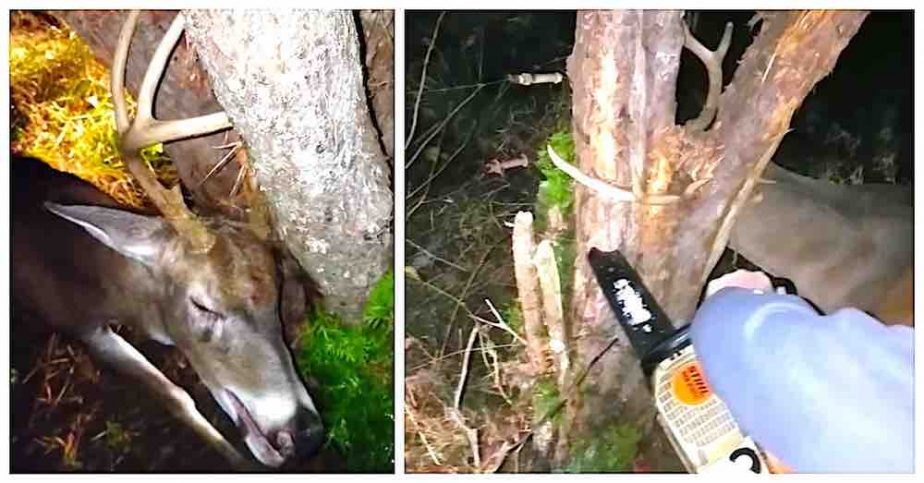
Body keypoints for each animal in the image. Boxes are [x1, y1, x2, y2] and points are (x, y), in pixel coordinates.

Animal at [12, 11, 323, 468]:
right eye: (203, 305)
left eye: (277, 295)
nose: (303, 432)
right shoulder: (77, 323)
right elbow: (175, 397)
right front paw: (232, 458)